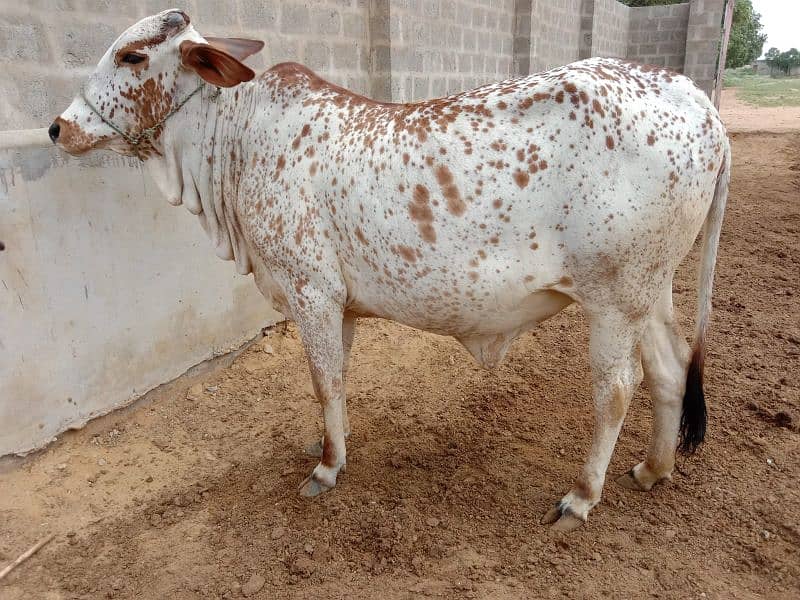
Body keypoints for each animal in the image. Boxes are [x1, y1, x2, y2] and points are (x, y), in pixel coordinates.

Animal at [50, 10, 730, 531]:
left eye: (133, 55)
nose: (58, 127)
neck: (233, 141)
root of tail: (693, 98)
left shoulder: (311, 289)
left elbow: (324, 380)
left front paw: (327, 467)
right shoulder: (338, 303)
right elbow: (335, 380)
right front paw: (332, 442)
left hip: (614, 297)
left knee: (615, 391)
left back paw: (582, 497)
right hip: (651, 291)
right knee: (669, 371)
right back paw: (653, 469)